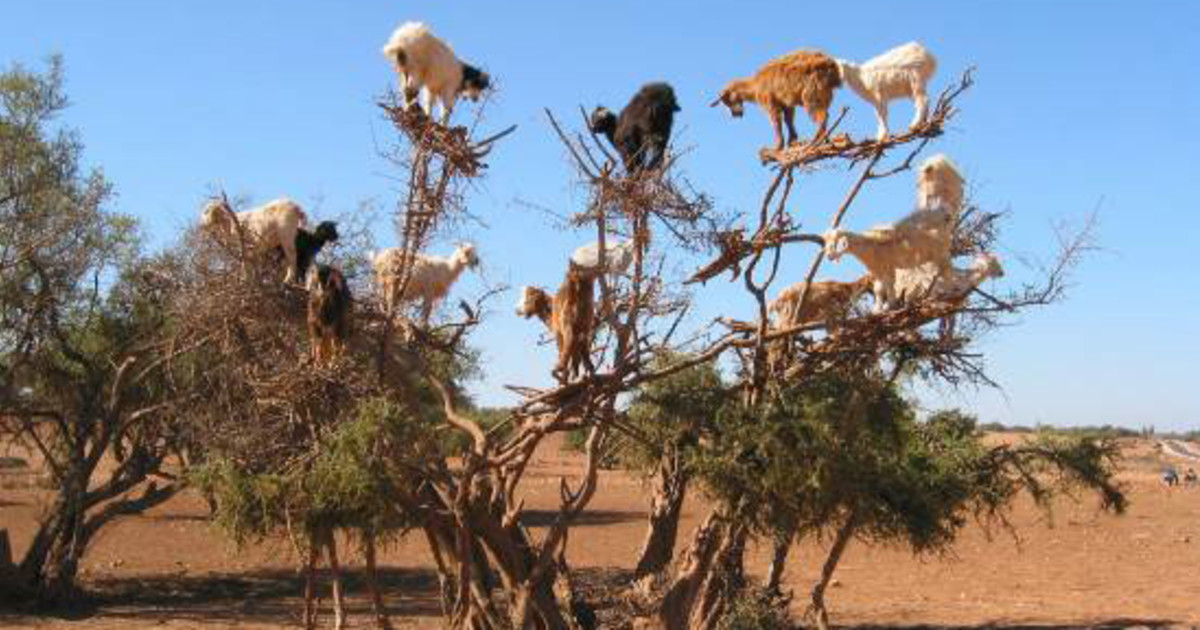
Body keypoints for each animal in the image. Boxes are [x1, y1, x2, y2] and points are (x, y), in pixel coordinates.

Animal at [711, 49, 842, 149]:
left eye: (727, 101)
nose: (736, 115)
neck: (755, 85)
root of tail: (832, 68)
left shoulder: (770, 103)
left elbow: (776, 123)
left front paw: (778, 147)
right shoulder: (786, 103)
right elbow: (788, 120)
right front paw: (792, 141)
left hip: (811, 93)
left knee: (822, 116)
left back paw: (816, 141)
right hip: (823, 95)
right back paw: (826, 140)